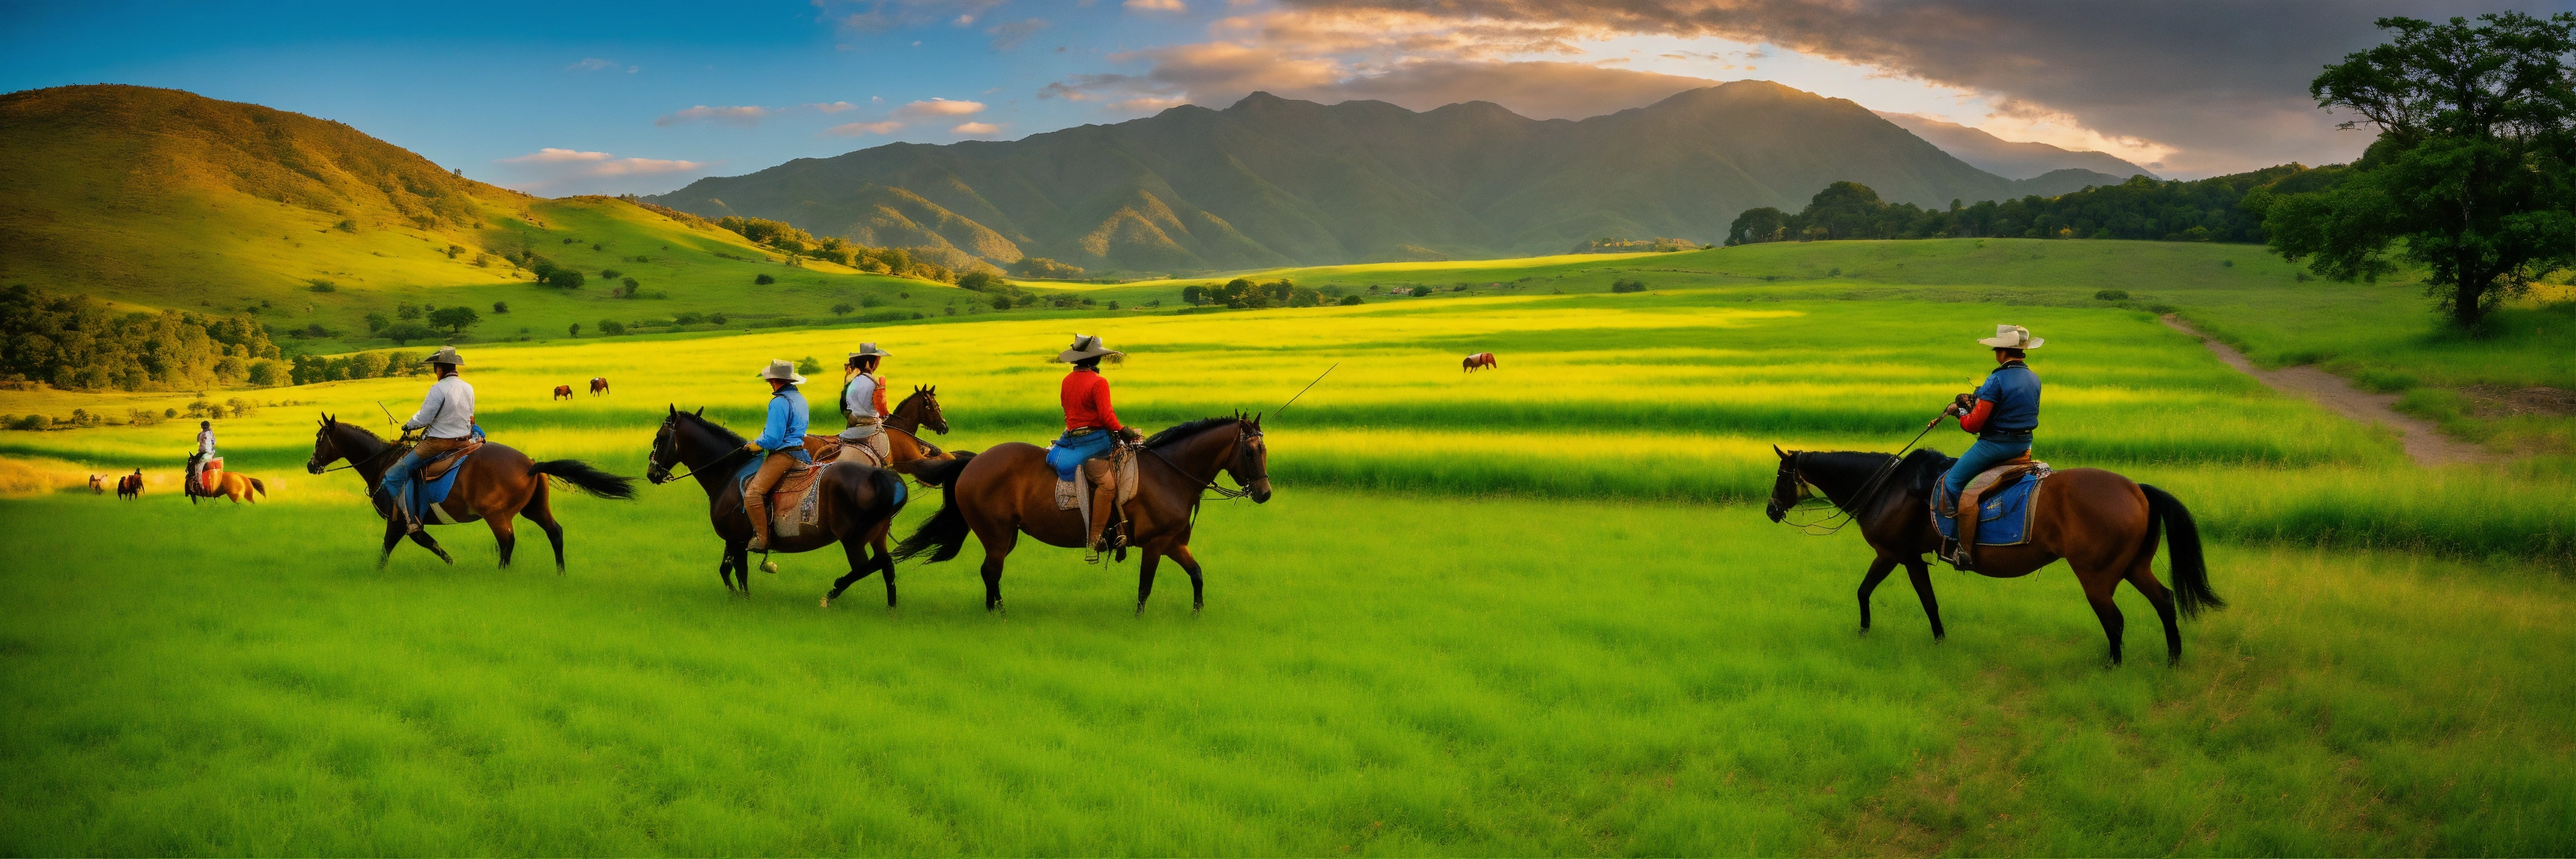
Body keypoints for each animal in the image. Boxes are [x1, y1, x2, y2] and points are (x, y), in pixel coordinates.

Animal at [306, 415, 638, 570]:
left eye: (320, 438)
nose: (311, 465)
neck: (382, 464)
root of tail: (531, 464)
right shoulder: (408, 523)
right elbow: (425, 544)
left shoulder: (401, 521)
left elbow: (394, 548)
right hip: (535, 509)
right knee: (555, 533)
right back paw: (560, 572)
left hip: (496, 515)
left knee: (507, 543)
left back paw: (503, 573)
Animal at [647, 406, 911, 602]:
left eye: (659, 438)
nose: (652, 473)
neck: (729, 472)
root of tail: (881, 477)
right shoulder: (734, 541)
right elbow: (727, 571)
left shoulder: (736, 540)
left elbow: (737, 574)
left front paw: (743, 600)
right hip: (876, 535)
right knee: (887, 567)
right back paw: (891, 611)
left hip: (853, 540)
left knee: (868, 566)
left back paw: (831, 594)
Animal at [894, 413, 1272, 615]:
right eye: (1250, 452)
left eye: (1264, 449)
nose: (1265, 493)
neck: (1170, 473)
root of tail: (974, 462)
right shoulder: (1155, 545)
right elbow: (1145, 587)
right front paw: (1140, 619)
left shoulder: (1174, 543)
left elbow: (1197, 575)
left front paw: (1196, 613)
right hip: (998, 535)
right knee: (990, 572)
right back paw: (998, 612)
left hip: (1005, 535)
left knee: (990, 572)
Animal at [1765, 446, 2224, 666]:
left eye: (1781, 476)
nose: (1770, 510)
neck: (1886, 487)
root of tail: (2136, 490)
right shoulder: (1912, 557)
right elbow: (1930, 603)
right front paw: (1940, 640)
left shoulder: (1894, 554)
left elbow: (1865, 591)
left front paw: (1863, 631)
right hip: (2133, 566)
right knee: (2164, 601)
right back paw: (2173, 659)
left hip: (2096, 576)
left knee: (2115, 620)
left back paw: (2113, 665)